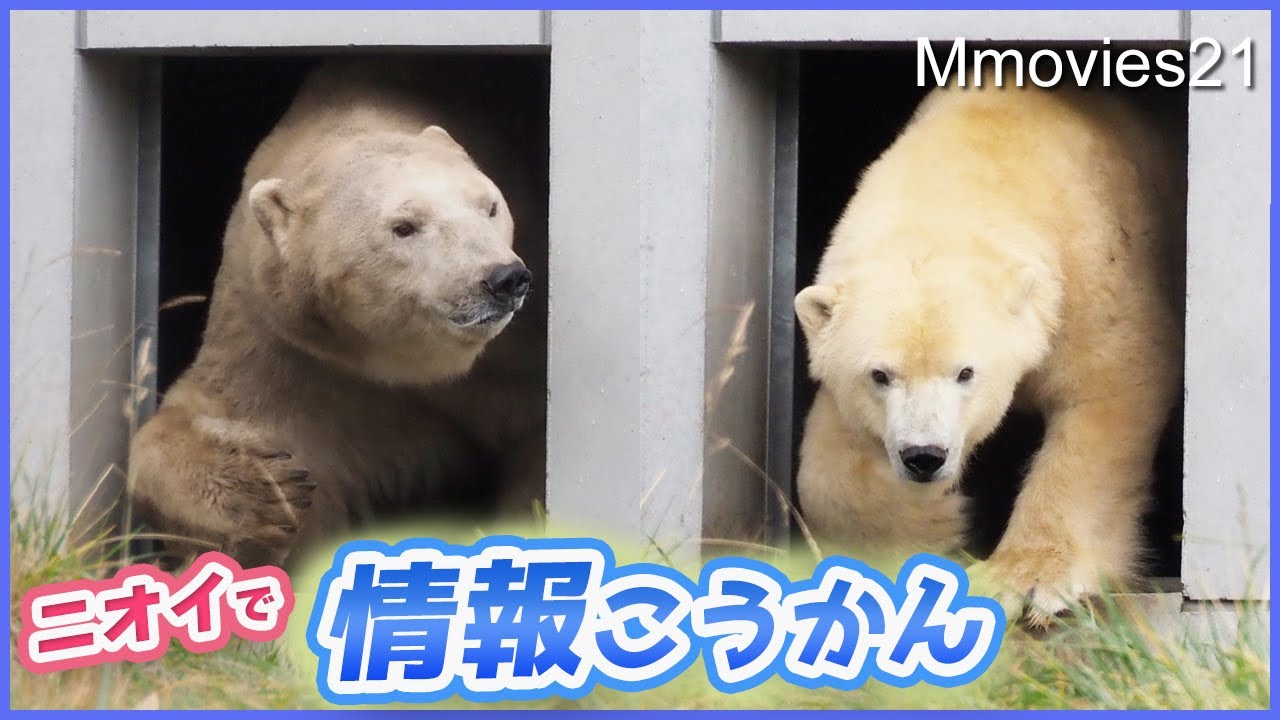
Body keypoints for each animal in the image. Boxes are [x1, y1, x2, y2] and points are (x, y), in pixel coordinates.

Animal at [127, 58, 548, 571]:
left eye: (490, 206)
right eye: (404, 227)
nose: (503, 278)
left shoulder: (516, 357)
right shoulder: (286, 343)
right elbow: (213, 409)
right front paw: (267, 490)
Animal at [793, 77, 1185, 627]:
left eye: (965, 372)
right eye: (879, 375)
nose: (924, 457)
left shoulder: (1092, 269)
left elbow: (1109, 389)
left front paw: (1023, 580)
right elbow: (828, 465)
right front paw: (931, 522)